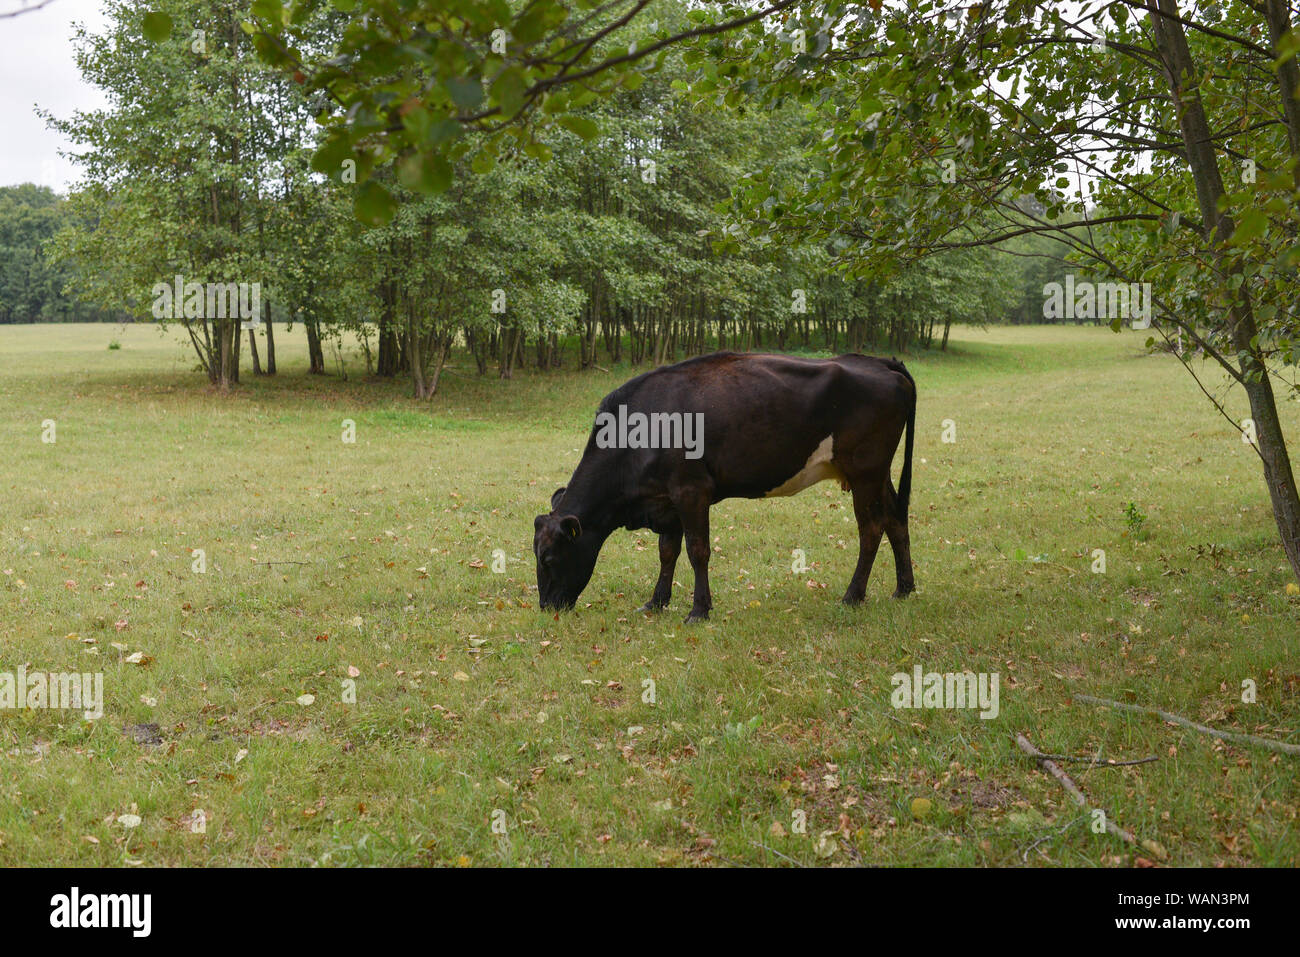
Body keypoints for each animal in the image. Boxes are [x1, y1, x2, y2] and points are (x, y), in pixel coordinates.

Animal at [533, 351, 916, 622]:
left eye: (549, 558)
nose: (545, 607)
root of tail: (879, 362)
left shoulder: (691, 489)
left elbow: (697, 550)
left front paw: (698, 610)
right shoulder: (666, 499)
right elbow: (667, 552)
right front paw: (656, 603)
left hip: (865, 471)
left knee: (871, 529)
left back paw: (853, 596)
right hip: (876, 474)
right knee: (896, 520)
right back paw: (904, 589)